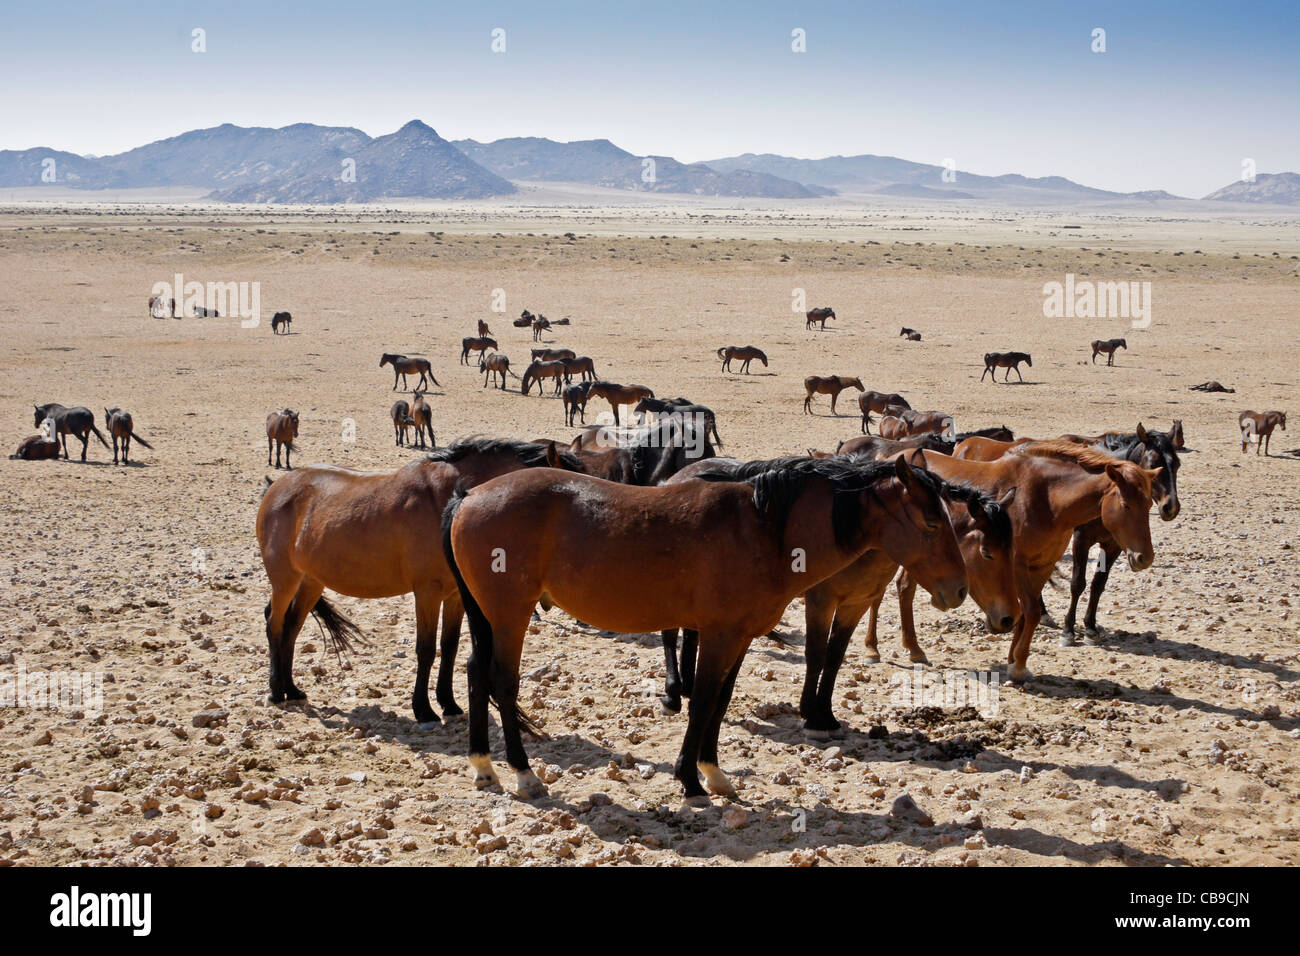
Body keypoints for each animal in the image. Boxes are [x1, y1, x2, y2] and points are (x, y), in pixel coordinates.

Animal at [256, 438, 588, 725]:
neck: (450, 500)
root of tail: (277, 487)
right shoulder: (427, 592)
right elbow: (426, 649)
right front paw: (424, 709)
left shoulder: (455, 595)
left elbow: (449, 647)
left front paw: (449, 704)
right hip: (285, 578)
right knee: (274, 623)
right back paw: (276, 691)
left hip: (311, 580)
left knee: (292, 627)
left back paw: (292, 689)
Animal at [441, 454, 968, 800]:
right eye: (931, 522)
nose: (958, 591)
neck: (765, 530)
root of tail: (469, 496)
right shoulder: (717, 635)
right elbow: (702, 701)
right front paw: (691, 780)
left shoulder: (739, 635)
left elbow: (720, 700)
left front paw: (713, 773)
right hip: (510, 614)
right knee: (502, 681)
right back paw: (524, 774)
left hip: (487, 615)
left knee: (475, 674)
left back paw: (484, 767)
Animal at [910, 443, 1159, 680]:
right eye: (1126, 505)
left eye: (1149, 504)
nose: (1144, 558)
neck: (1047, 500)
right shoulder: (1018, 565)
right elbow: (1030, 610)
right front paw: (1019, 664)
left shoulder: (1042, 566)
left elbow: (1027, 614)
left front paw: (1013, 659)